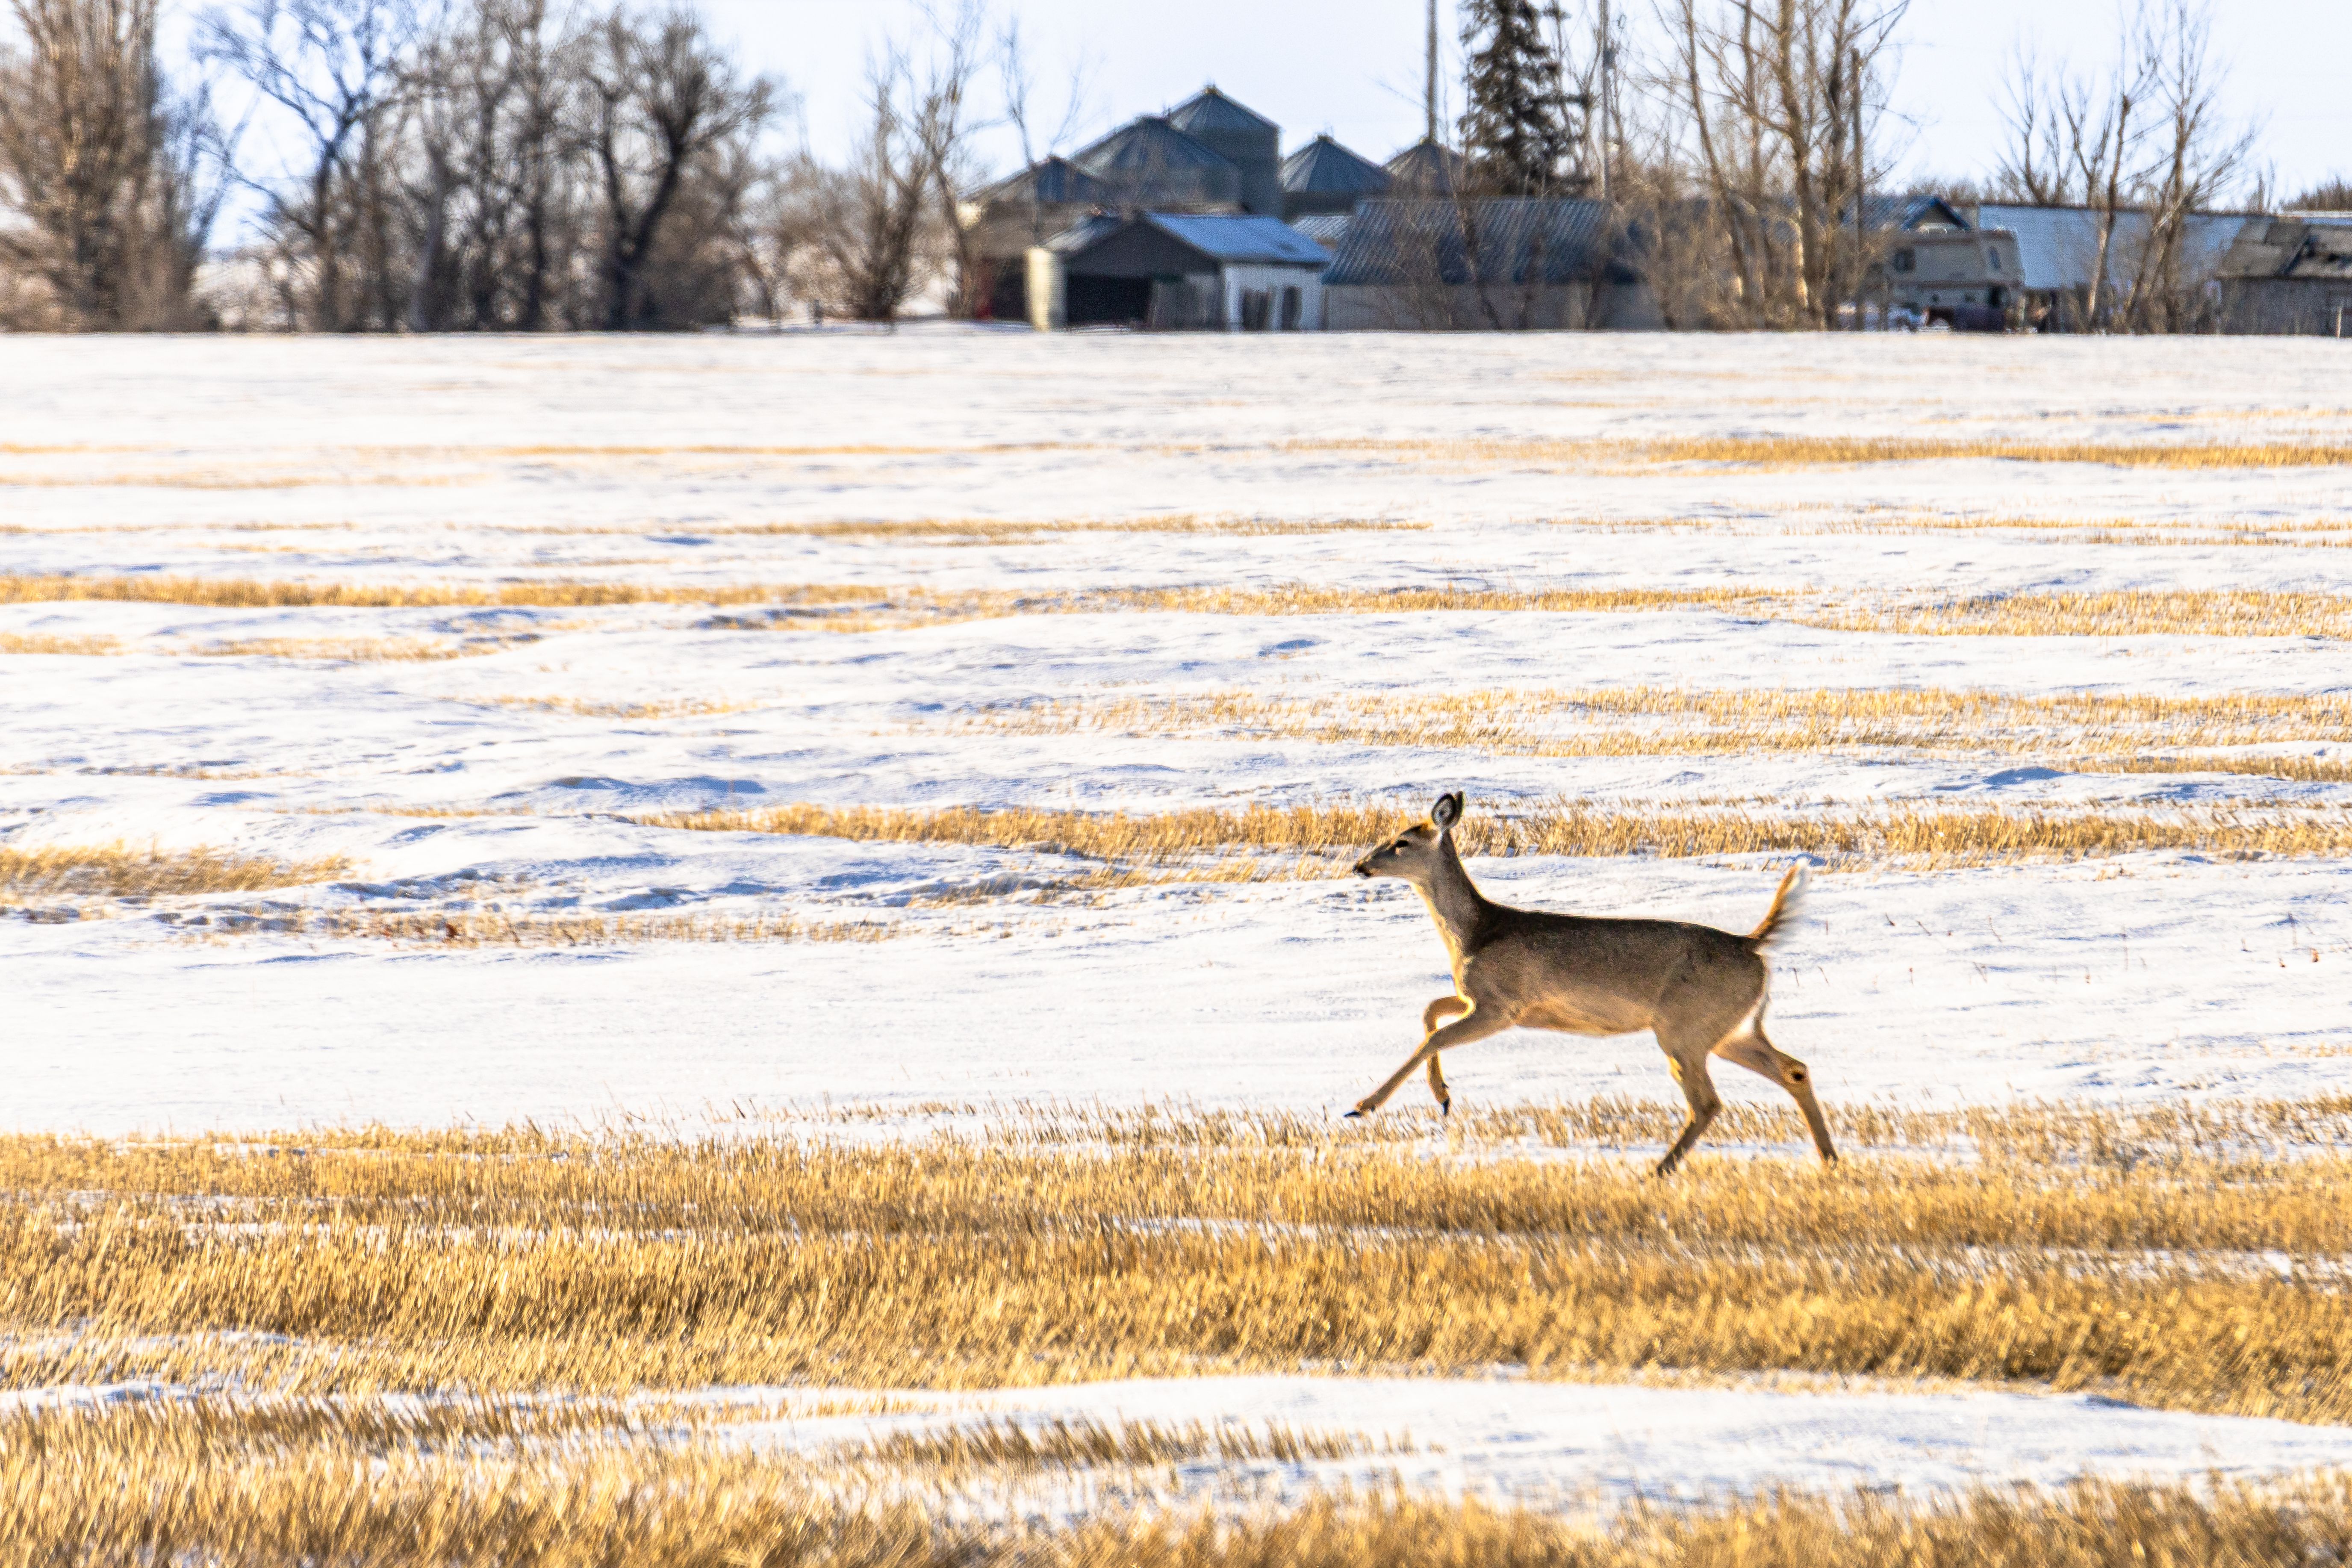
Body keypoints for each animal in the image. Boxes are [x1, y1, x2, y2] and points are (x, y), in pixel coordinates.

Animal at [1345, 792, 1835, 1178]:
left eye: (1401, 842)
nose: (1360, 865)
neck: (1476, 932)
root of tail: (1751, 945)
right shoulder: (1478, 1000)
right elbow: (1430, 1010)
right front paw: (1443, 1095)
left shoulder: (1504, 1006)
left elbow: (1434, 1035)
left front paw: (1366, 1104)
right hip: (1729, 1028)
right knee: (1794, 1069)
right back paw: (1828, 1159)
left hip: (1684, 1027)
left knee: (1709, 1101)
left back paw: (1659, 1169)